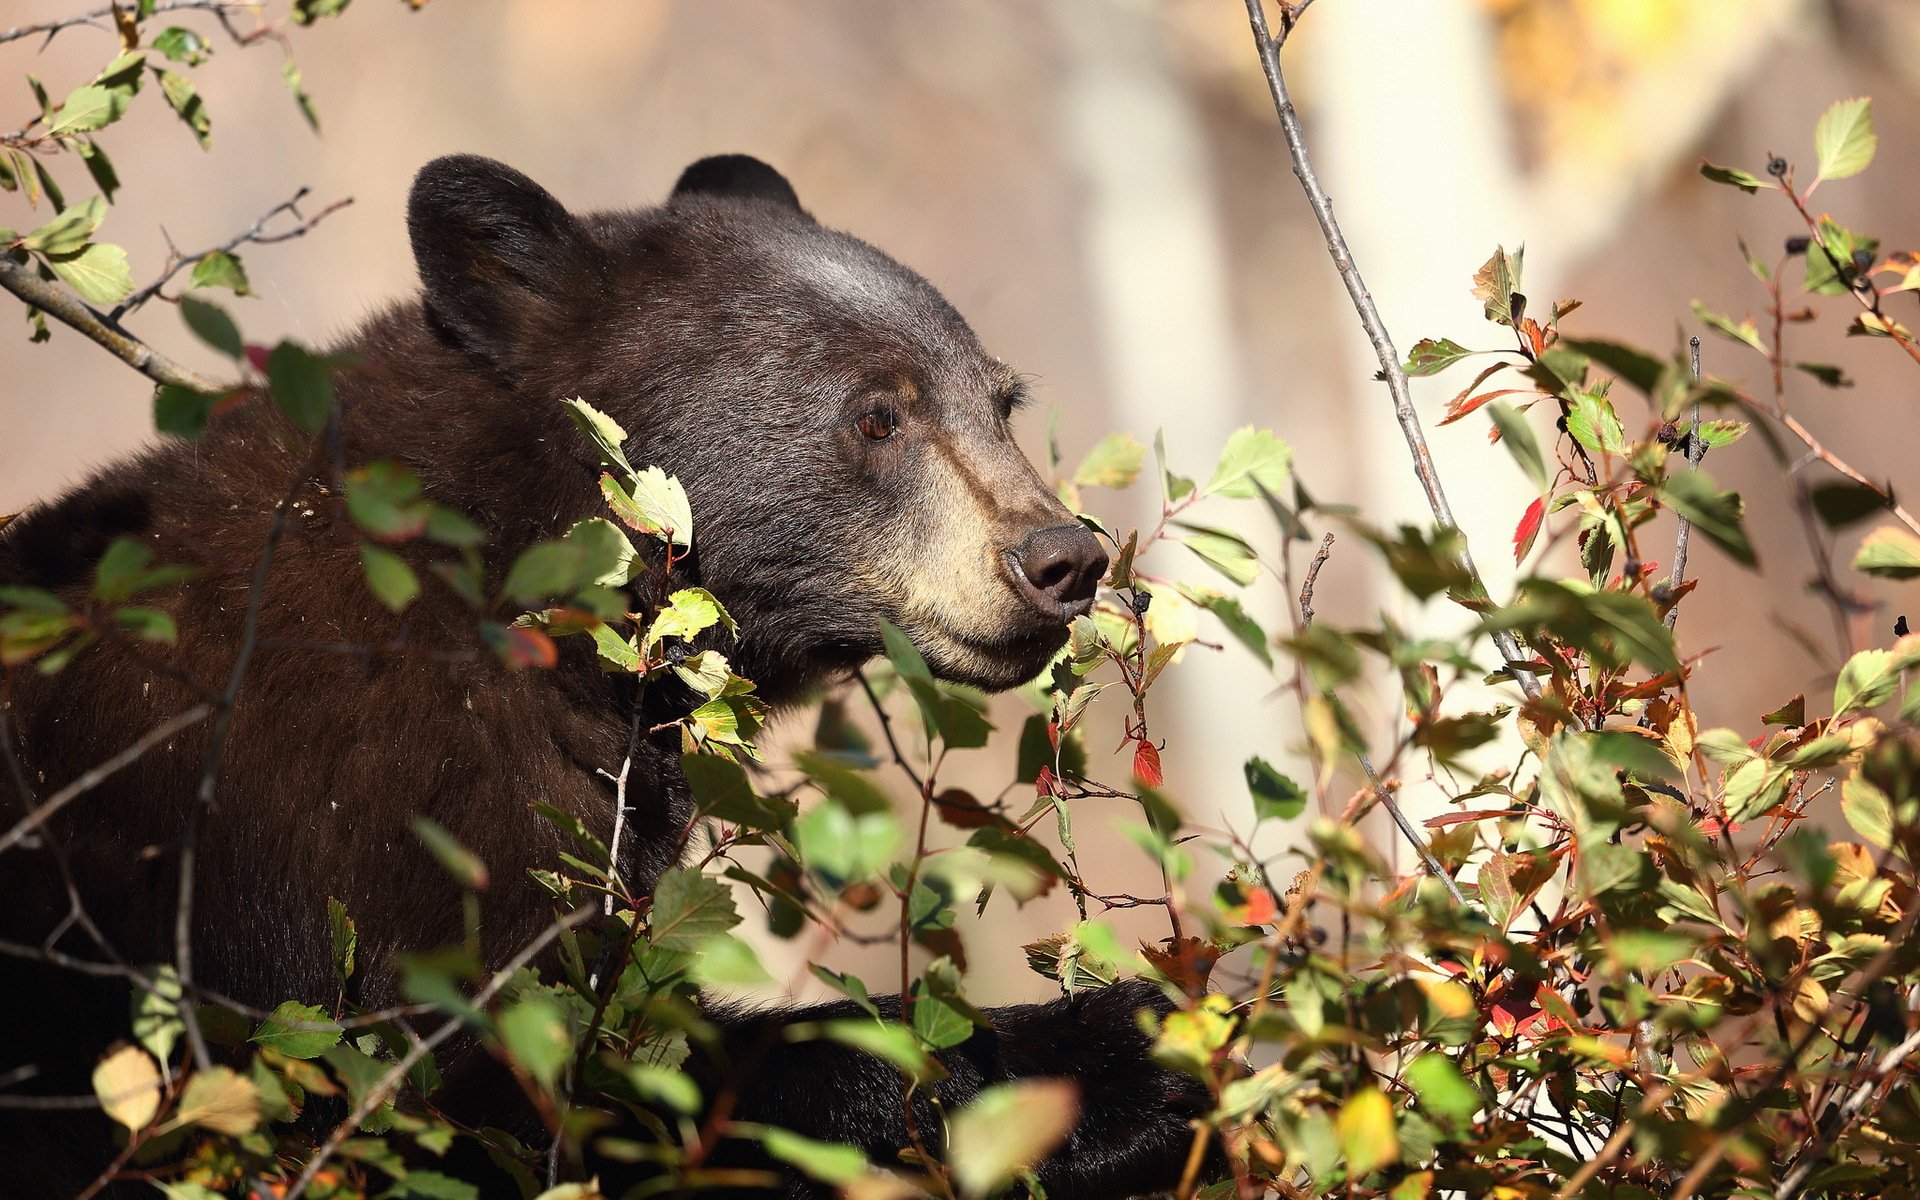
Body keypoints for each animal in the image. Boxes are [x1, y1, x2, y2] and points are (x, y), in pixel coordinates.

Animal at [0, 154, 1210, 1197]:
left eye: (1000, 401)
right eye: (878, 411)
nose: (1060, 558)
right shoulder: (364, 826)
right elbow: (505, 1083)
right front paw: (1105, 1064)